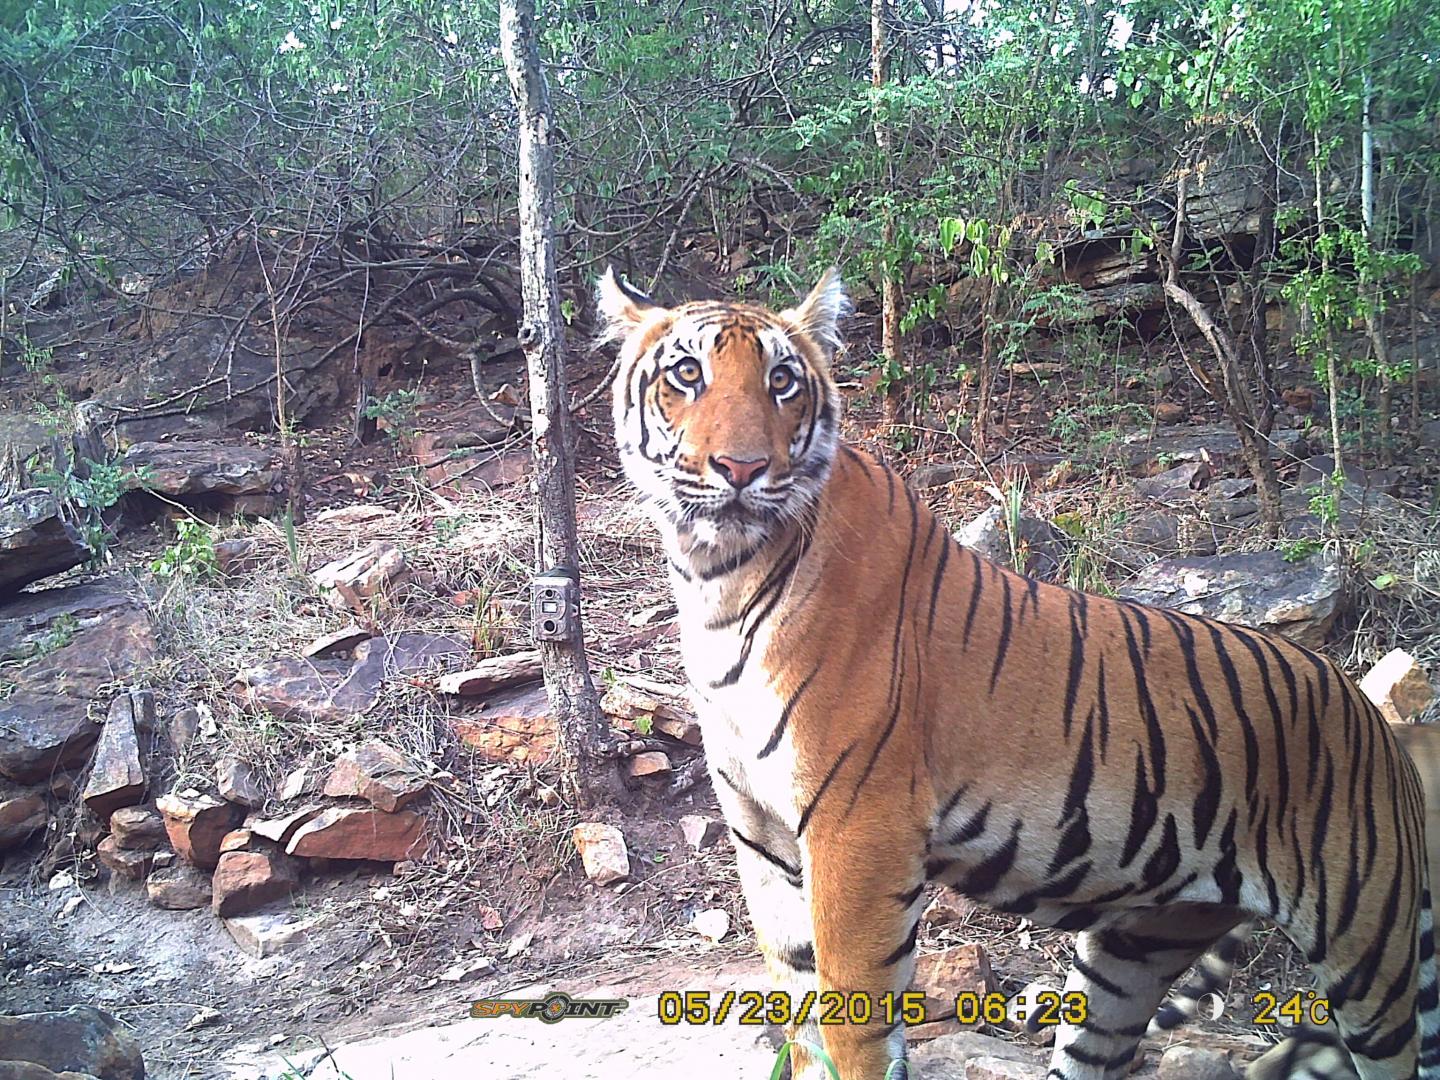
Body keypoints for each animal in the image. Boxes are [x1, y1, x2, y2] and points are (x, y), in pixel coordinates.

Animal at [597, 265, 1439, 1080]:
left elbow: (855, 1031)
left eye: (781, 381)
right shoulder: (763, 837)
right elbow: (803, 1026)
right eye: (686, 373)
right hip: (1132, 950)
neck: (718, 579)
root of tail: (1377, 722)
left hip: (1370, 954)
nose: (741, 468)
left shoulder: (855, 833)